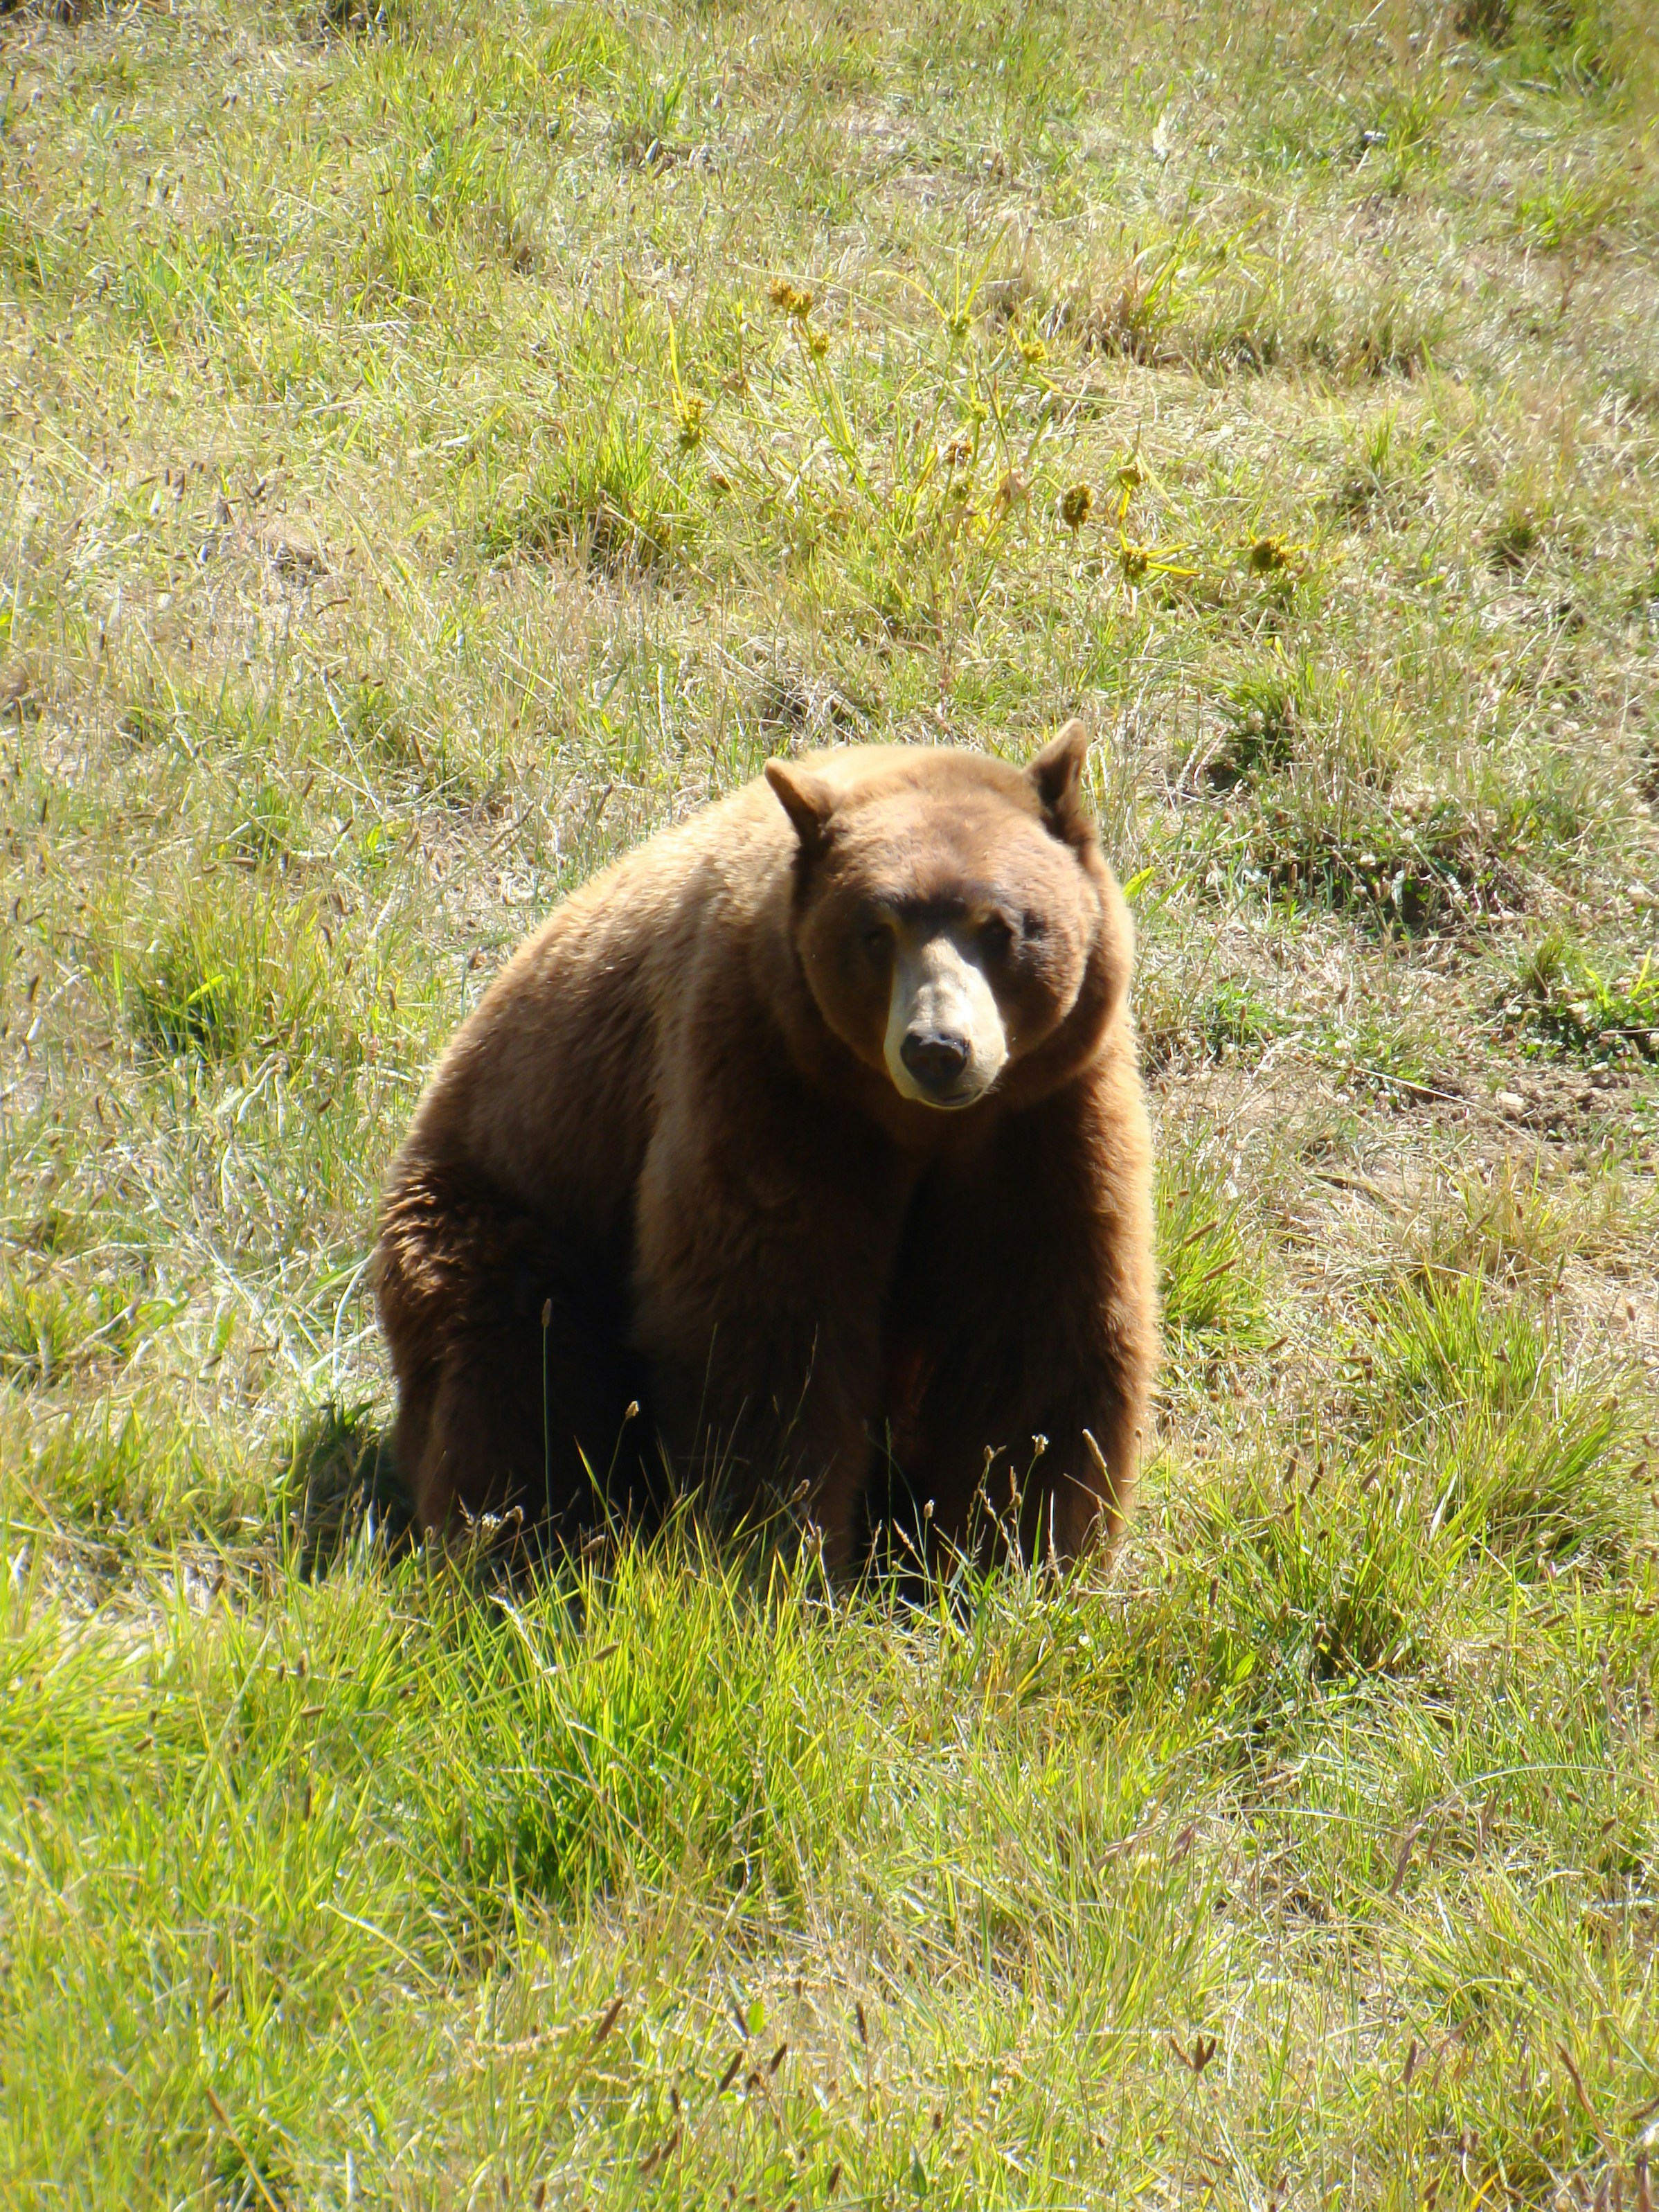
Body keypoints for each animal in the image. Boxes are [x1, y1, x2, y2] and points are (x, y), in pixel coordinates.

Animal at [373, 721, 1158, 1574]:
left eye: (1001, 928)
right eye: (877, 932)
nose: (938, 1049)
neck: (912, 1123)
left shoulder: (1042, 1115)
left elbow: (1036, 1321)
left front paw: (1018, 1545)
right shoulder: (767, 1080)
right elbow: (766, 1323)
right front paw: (779, 1545)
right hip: (504, 1198)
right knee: (512, 1359)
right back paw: (518, 1537)